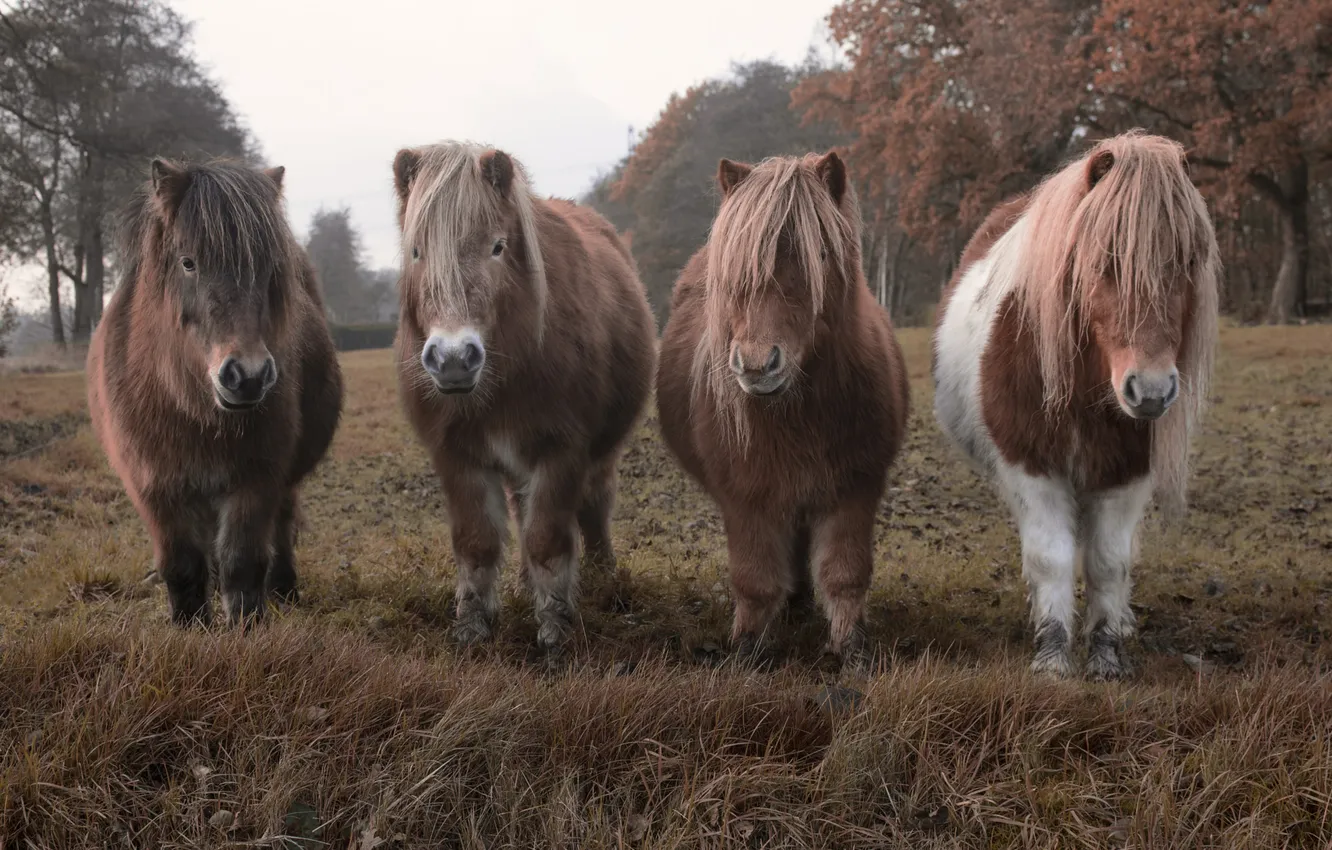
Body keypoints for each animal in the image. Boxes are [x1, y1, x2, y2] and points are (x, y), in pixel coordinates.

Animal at [87, 159, 343, 626]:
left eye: (267, 269)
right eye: (188, 263)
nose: (248, 376)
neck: (189, 408)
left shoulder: (256, 479)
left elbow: (242, 562)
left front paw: (247, 626)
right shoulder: (155, 486)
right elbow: (182, 564)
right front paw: (190, 626)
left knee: (281, 526)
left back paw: (284, 589)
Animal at [391, 141, 655, 654]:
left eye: (498, 247)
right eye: (416, 251)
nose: (454, 359)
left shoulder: (562, 450)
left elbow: (548, 541)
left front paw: (555, 632)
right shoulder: (457, 456)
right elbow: (477, 542)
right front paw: (472, 628)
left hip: (600, 453)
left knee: (594, 506)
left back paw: (603, 577)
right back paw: (522, 585)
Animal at [656, 151, 910, 668]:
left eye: (821, 256)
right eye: (737, 270)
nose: (757, 364)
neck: (800, 411)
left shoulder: (854, 489)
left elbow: (846, 572)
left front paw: (851, 650)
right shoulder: (746, 497)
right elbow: (754, 580)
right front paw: (747, 650)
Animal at [932, 130, 1220, 680]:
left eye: (1186, 261)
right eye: (1105, 261)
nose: (1151, 391)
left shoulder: (1127, 472)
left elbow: (1109, 562)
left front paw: (1106, 655)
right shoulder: (1031, 465)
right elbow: (1053, 558)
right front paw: (1052, 656)